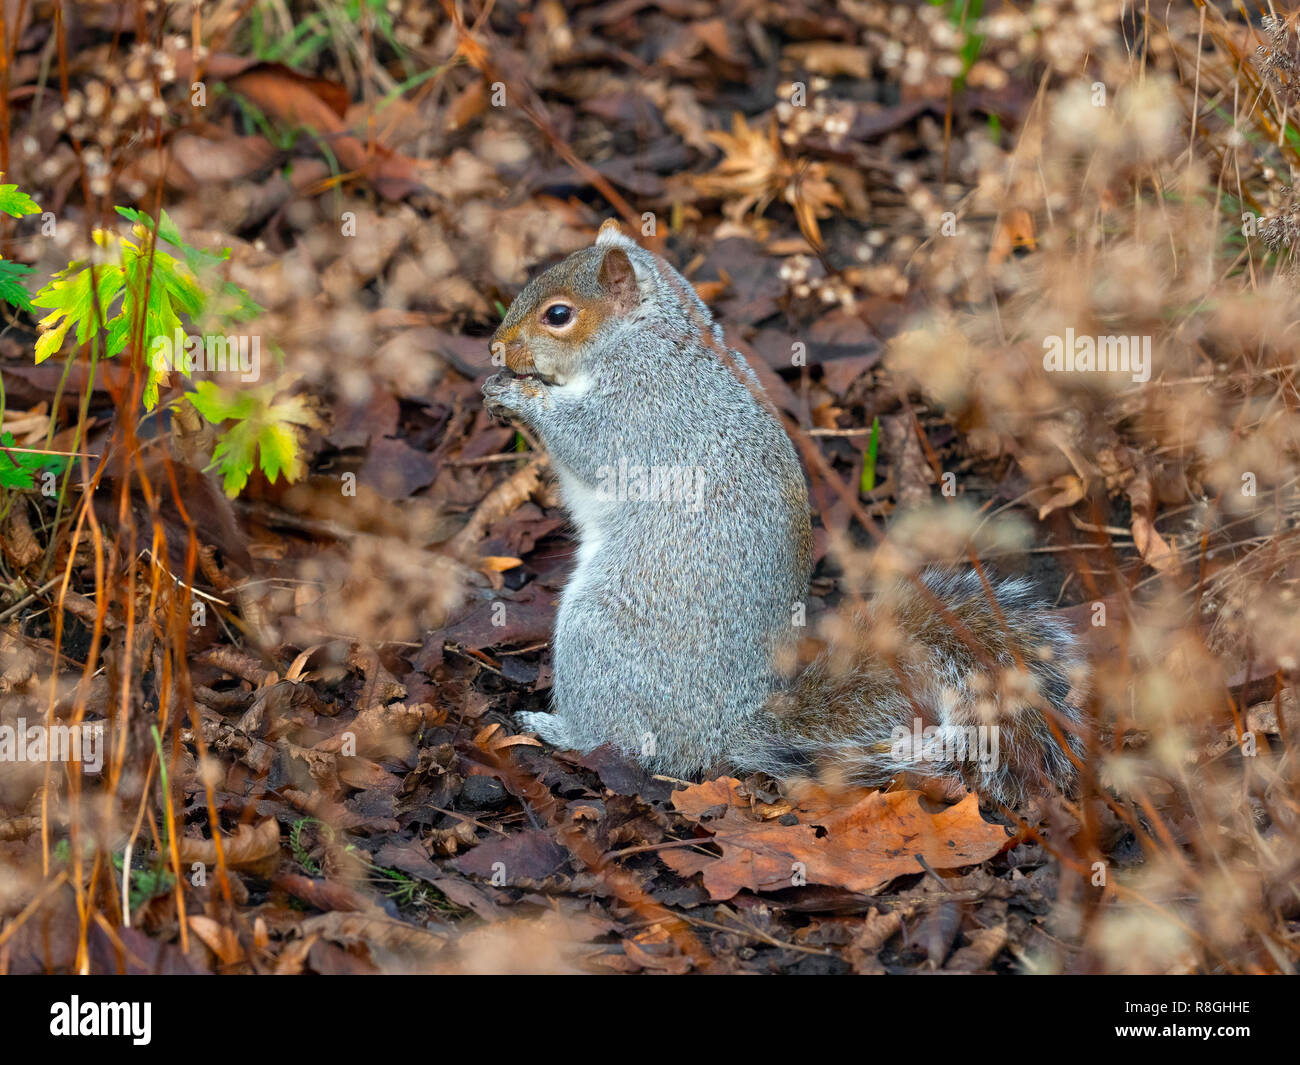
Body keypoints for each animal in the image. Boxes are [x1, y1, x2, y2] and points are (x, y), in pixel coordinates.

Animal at [481, 221, 1087, 806]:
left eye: (559, 315)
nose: (494, 348)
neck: (642, 336)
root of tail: (723, 734)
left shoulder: (644, 408)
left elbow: (587, 441)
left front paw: (520, 397)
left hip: (601, 631)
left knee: (618, 739)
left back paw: (556, 729)